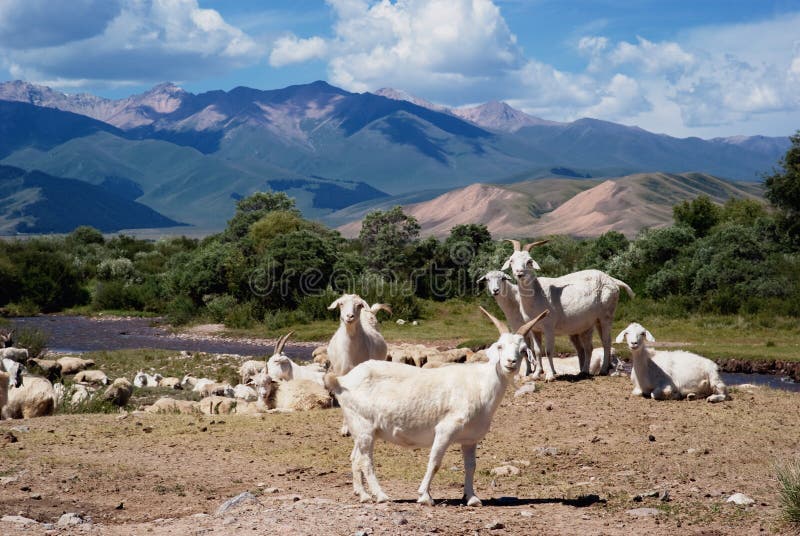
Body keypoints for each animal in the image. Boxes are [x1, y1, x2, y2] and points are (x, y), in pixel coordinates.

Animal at [324, 307, 548, 506]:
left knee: (355, 458)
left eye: (522, 350)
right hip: (364, 427)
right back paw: (381, 496)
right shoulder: (445, 430)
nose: (510, 362)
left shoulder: (470, 439)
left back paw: (363, 495)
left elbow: (471, 466)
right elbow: (434, 462)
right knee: (366, 461)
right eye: (500, 346)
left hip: (361, 428)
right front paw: (425, 496)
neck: (480, 384)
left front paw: (471, 497)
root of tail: (343, 381)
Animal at [503, 239, 634, 379]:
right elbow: (537, 351)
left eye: (529, 261)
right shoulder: (534, 329)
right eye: (511, 260)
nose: (519, 273)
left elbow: (548, 351)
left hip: (607, 315)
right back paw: (584, 371)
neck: (537, 293)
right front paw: (536, 374)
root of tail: (612, 280)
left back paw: (603, 370)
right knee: (589, 347)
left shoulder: (549, 327)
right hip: (593, 322)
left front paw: (550, 375)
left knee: (606, 341)